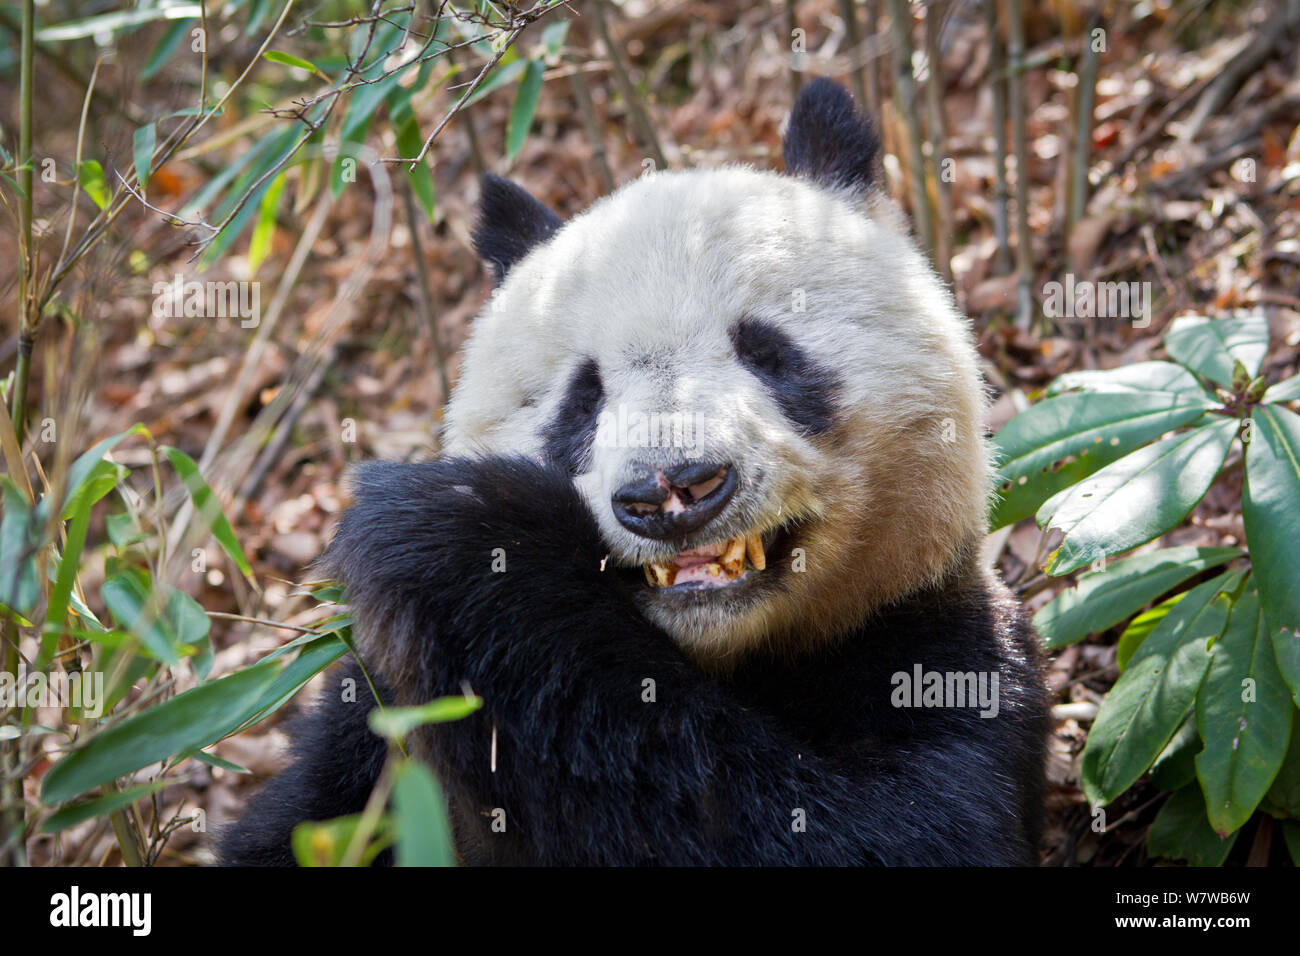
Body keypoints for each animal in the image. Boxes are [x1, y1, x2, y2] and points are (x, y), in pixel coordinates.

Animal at [218, 78, 1048, 867]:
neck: (724, 652)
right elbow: (295, 829)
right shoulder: (376, 721)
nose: (672, 490)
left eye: (768, 352)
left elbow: (851, 829)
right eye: (582, 398)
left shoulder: (939, 659)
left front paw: (465, 536)